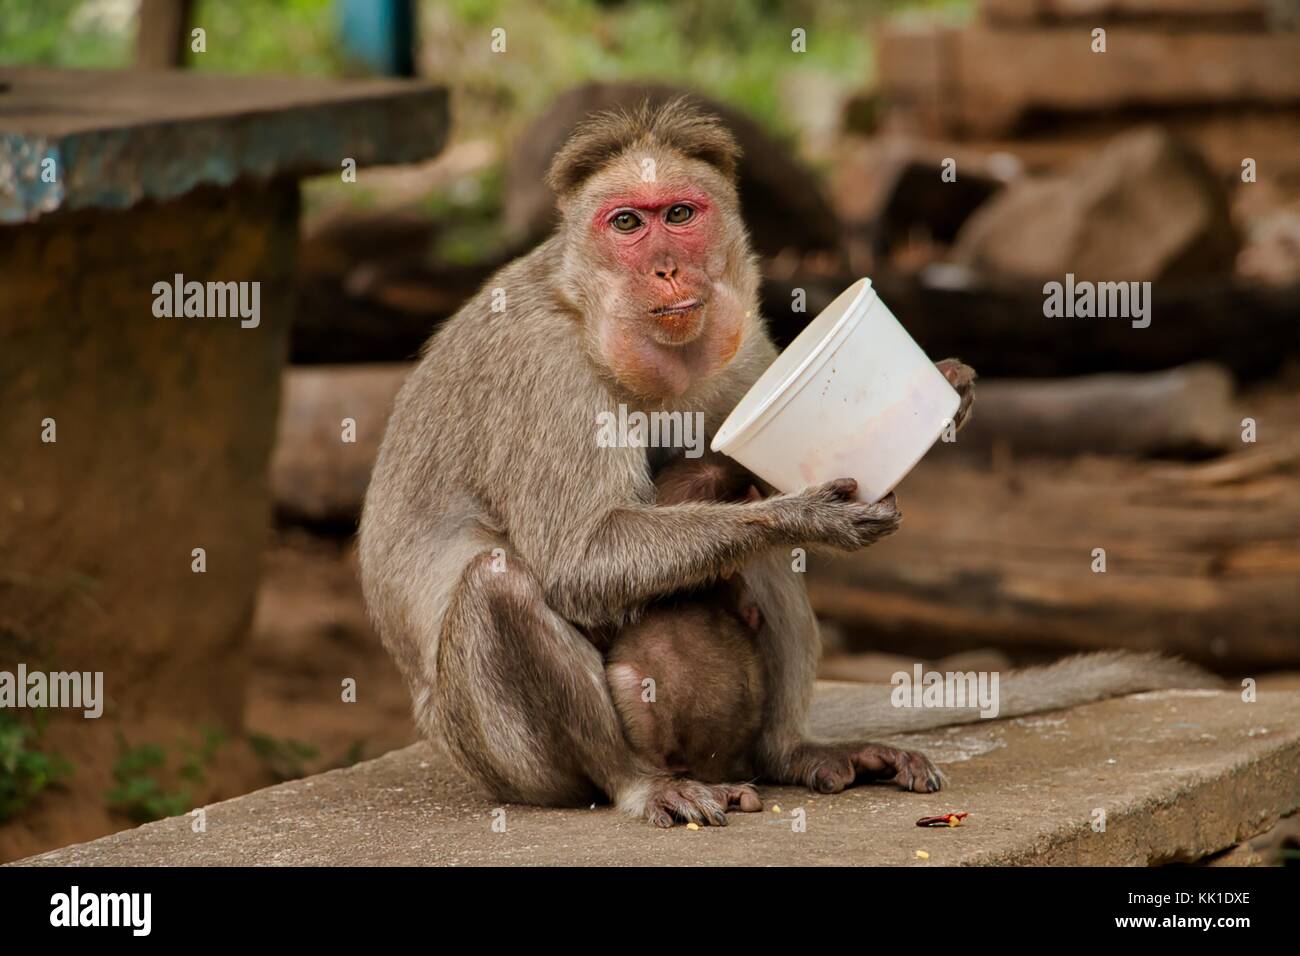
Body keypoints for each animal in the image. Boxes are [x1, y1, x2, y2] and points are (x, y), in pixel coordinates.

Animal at [359, 98, 1216, 829]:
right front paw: (809, 512)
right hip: (508, 766)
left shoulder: (741, 350)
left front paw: (946, 387)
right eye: (626, 223)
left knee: (751, 564)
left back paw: (790, 752)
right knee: (499, 587)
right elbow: (576, 560)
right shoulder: (541, 369)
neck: (589, 312)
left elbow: (725, 481)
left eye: (680, 215)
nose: (666, 268)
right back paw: (638, 782)